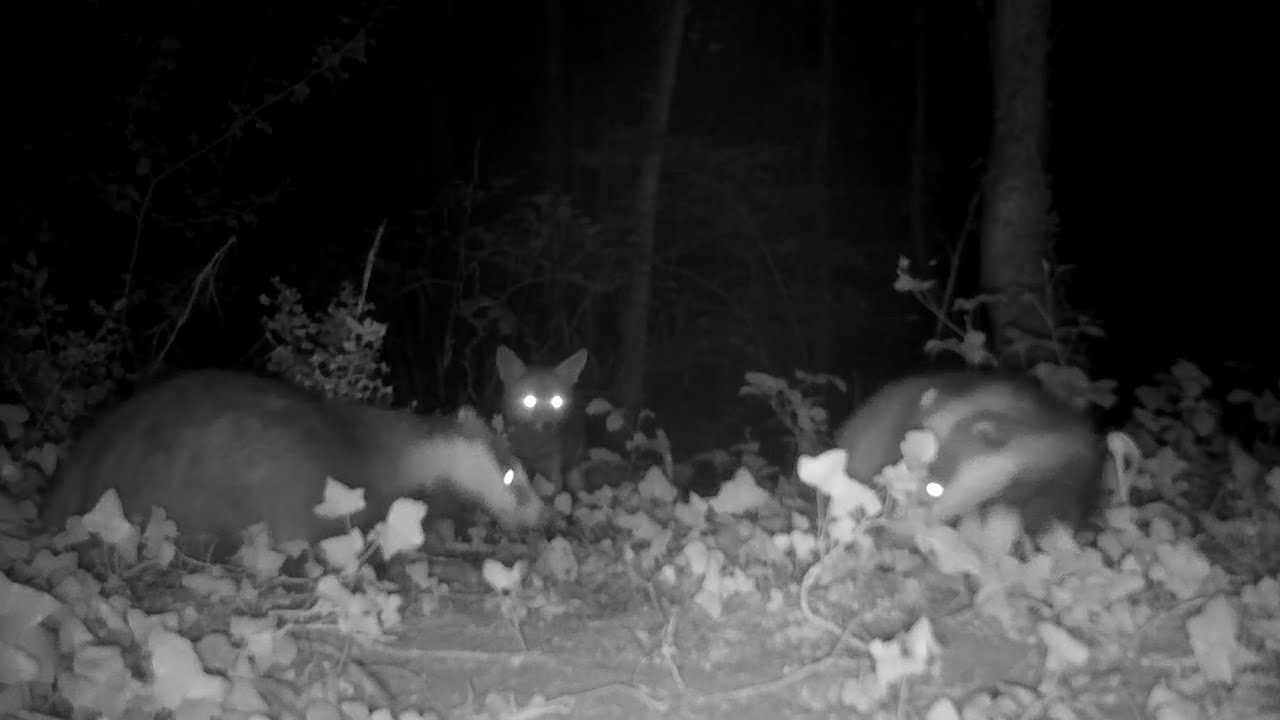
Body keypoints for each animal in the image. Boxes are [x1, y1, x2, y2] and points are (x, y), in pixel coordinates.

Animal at [494, 345, 589, 494]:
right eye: (529, 400)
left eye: (557, 401)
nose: (547, 425)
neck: (533, 449)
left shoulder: (552, 471)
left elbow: (547, 490)